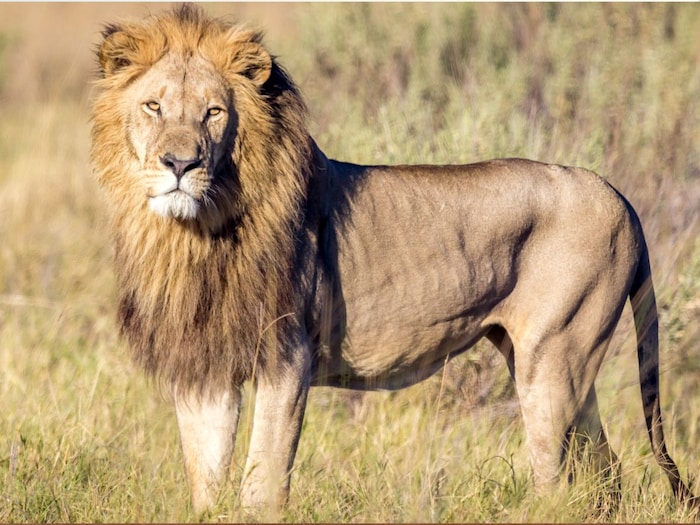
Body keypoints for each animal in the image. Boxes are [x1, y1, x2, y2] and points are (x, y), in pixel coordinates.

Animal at [91, 4, 697, 516]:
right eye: (153, 106)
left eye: (214, 112)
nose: (180, 164)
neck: (195, 234)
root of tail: (618, 194)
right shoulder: (206, 365)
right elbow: (206, 480)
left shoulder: (288, 356)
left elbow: (262, 481)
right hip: (563, 365)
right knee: (605, 471)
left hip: (553, 361)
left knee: (559, 480)